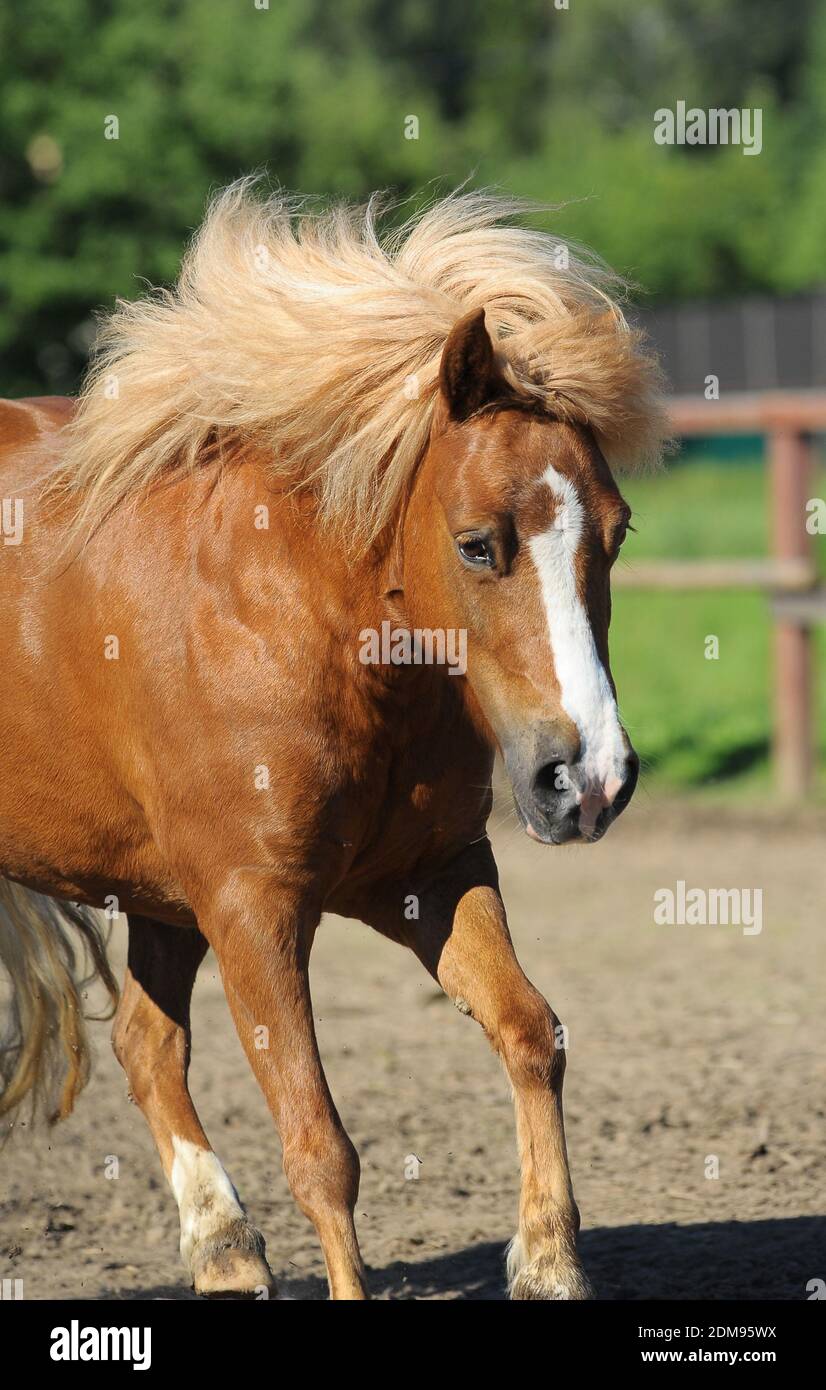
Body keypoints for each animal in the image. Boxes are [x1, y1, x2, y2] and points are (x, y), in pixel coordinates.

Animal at [0, 183, 667, 1300]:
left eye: (613, 536)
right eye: (477, 544)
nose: (588, 778)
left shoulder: (427, 875)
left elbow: (531, 1033)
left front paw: (547, 1262)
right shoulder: (253, 910)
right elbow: (322, 1149)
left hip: (161, 895)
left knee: (145, 1044)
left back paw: (226, 1251)